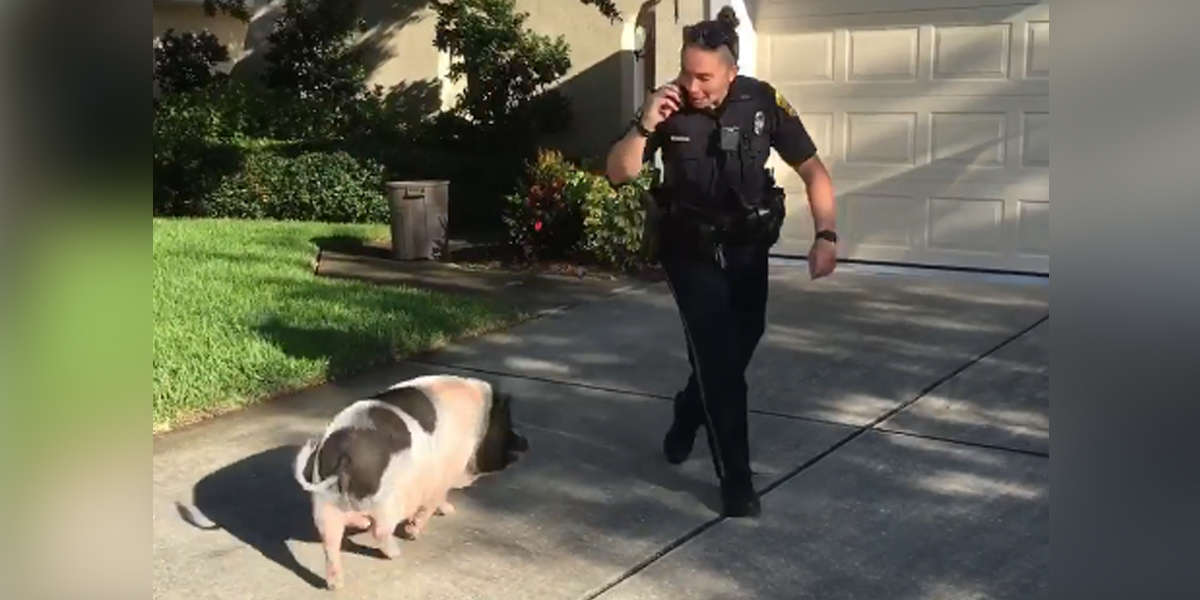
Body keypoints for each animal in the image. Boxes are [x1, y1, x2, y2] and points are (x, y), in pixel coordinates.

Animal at [292, 375, 529, 590]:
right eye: (507, 423)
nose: (526, 441)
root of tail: (344, 455)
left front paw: (448, 510)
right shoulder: (440, 479)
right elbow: (431, 504)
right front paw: (431, 521)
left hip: (324, 507)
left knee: (330, 542)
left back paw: (336, 585)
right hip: (387, 503)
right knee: (378, 531)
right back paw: (396, 553)